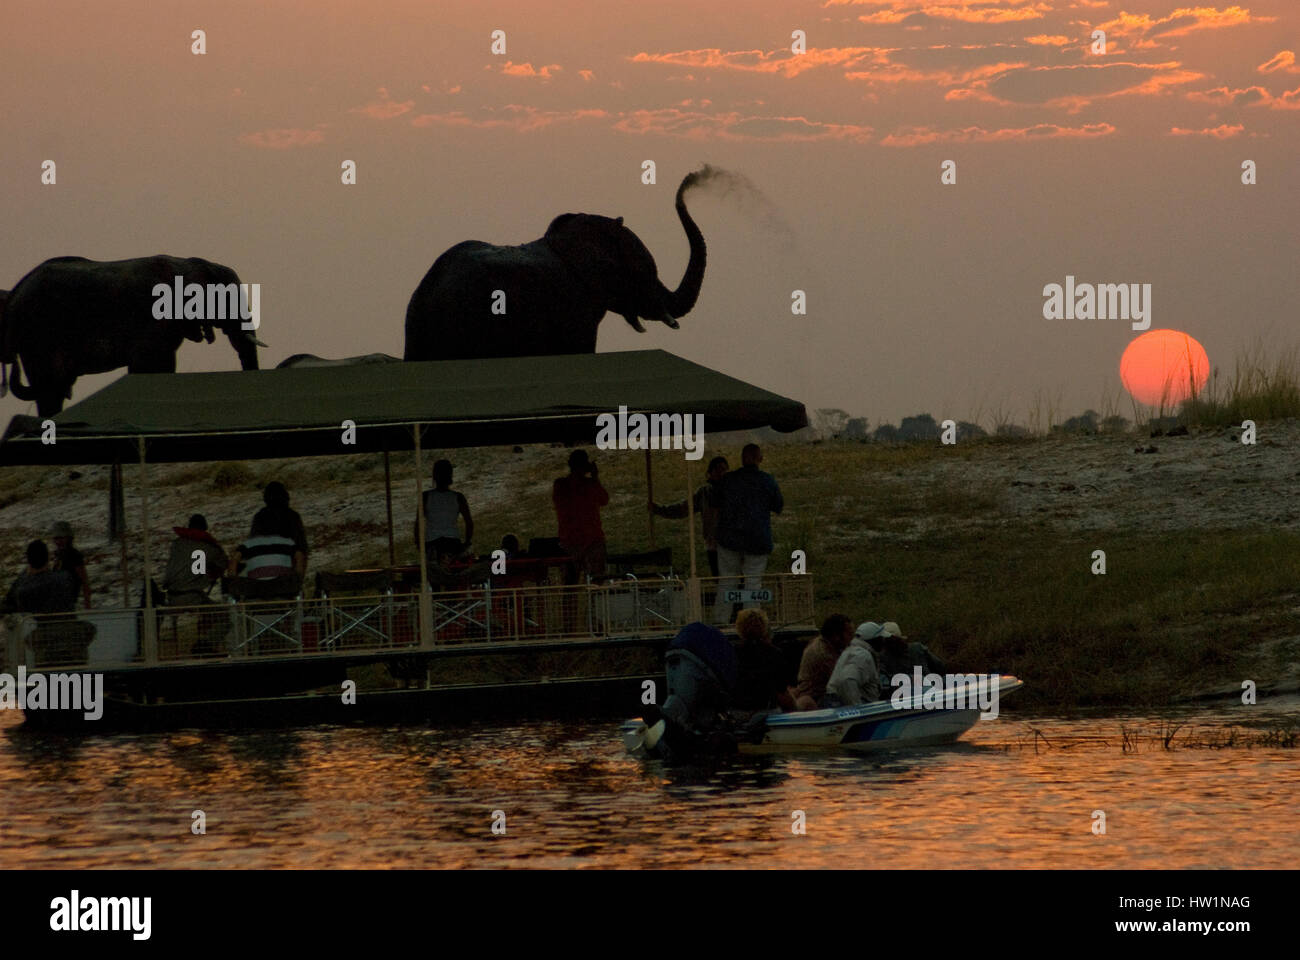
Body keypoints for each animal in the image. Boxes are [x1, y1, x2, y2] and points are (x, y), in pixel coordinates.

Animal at [1, 255, 263, 415]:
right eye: (228, 299)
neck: (187, 263)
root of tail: (14, 294)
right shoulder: (151, 318)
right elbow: (145, 365)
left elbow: (165, 366)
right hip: (37, 334)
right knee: (49, 389)